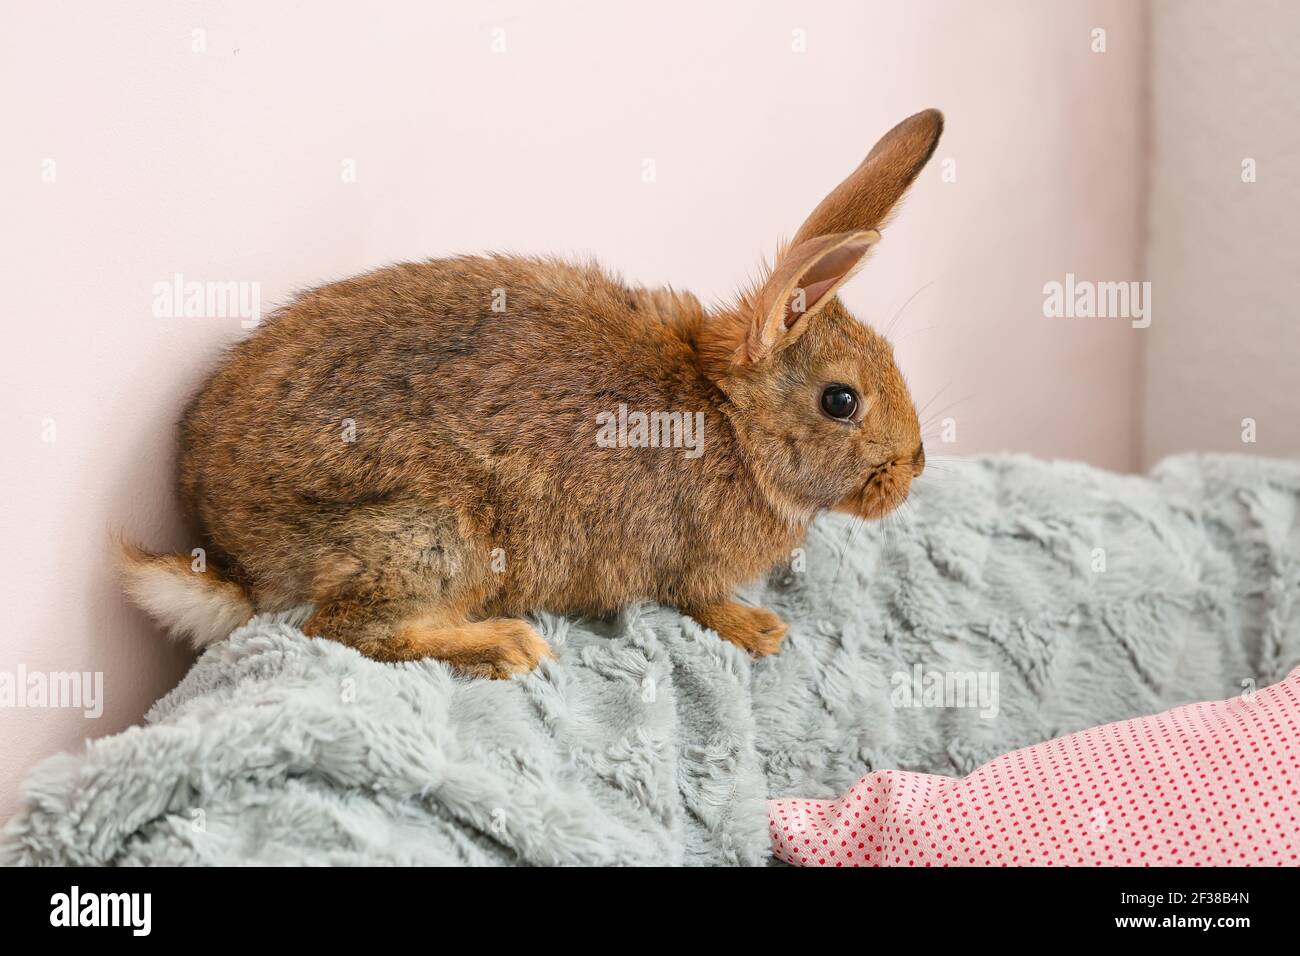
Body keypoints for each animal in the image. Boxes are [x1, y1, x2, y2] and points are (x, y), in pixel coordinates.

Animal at [121, 108, 943, 678]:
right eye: (841, 402)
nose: (915, 469)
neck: (730, 419)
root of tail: (237, 563)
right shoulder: (687, 562)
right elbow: (700, 600)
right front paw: (762, 631)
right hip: (431, 535)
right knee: (338, 631)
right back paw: (506, 646)